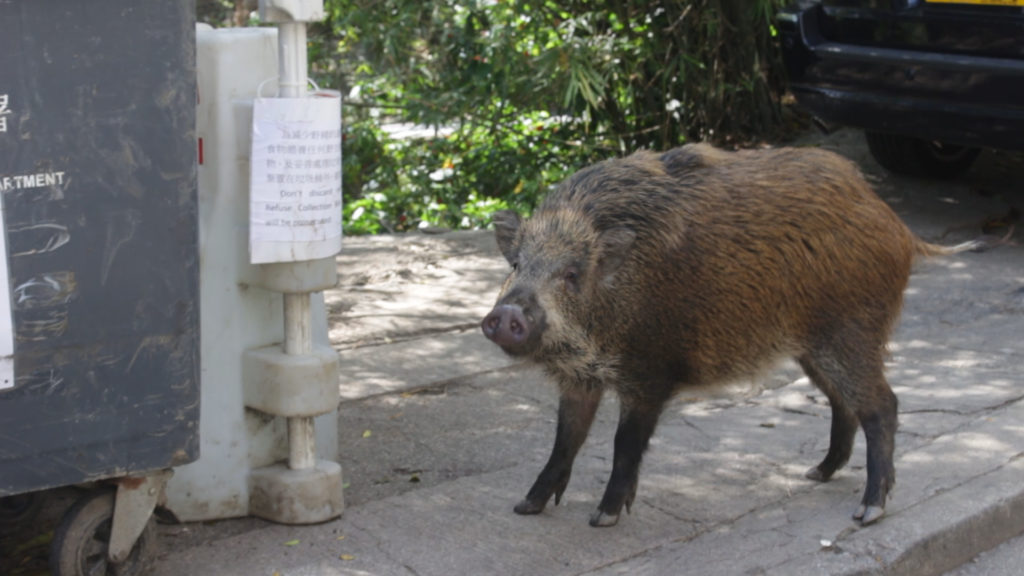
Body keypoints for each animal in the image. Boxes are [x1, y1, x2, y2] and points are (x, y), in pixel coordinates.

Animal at [481, 143, 987, 528]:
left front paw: (603, 518)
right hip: (811, 346)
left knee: (883, 405)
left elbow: (624, 443)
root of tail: (898, 226)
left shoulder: (651, 372)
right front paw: (526, 506)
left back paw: (867, 512)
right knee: (842, 403)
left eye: (571, 274)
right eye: (515, 265)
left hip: (851, 333)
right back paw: (815, 474)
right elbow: (565, 438)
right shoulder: (581, 378)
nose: (506, 312)